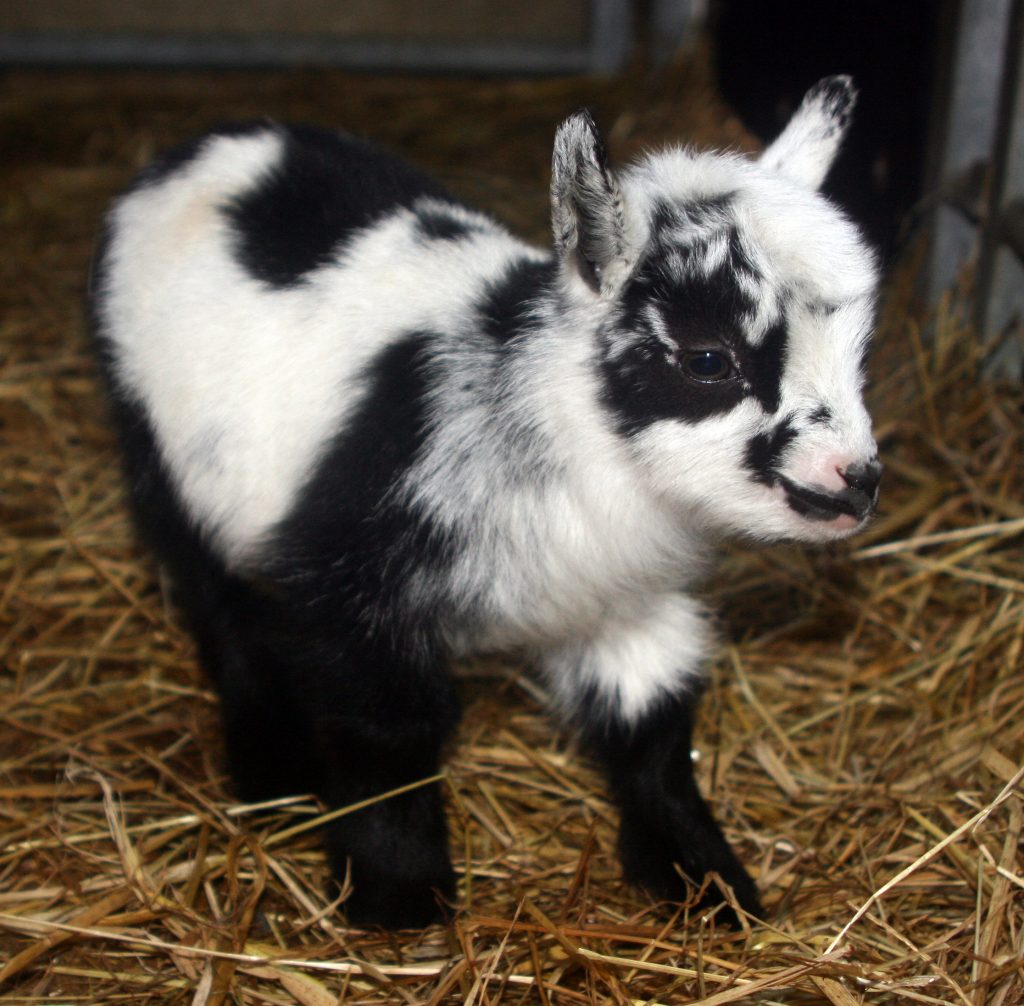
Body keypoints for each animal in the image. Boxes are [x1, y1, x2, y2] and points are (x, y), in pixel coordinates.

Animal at [90, 75, 881, 930]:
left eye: (857, 352)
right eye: (709, 359)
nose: (857, 479)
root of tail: (201, 148)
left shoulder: (626, 601)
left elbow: (655, 732)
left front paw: (704, 879)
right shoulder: (352, 573)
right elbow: (390, 727)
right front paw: (398, 893)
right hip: (157, 451)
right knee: (224, 611)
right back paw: (272, 771)